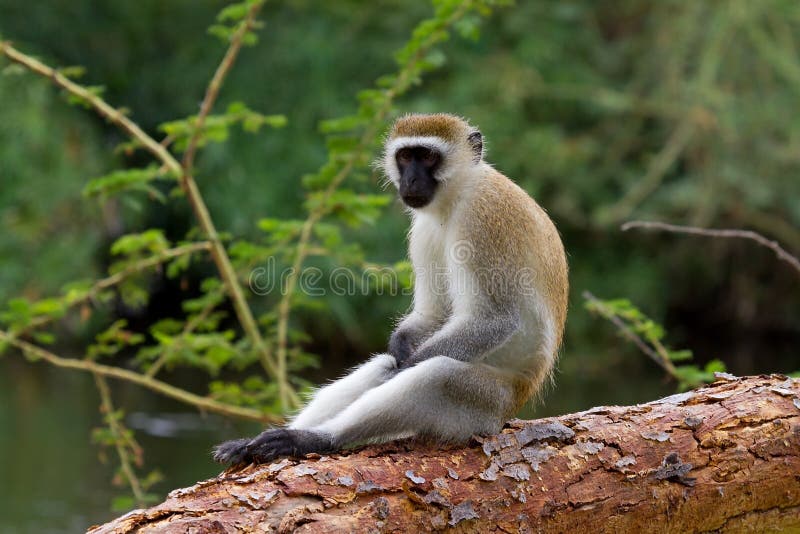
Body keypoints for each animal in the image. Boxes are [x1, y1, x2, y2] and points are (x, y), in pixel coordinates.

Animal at [213, 113, 569, 465]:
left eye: (427, 156)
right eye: (405, 157)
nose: (409, 181)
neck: (456, 196)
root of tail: (521, 394)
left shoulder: (482, 219)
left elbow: (495, 319)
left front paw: (407, 366)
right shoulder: (423, 229)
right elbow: (433, 314)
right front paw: (400, 342)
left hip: (486, 404)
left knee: (436, 375)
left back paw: (314, 438)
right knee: (385, 365)